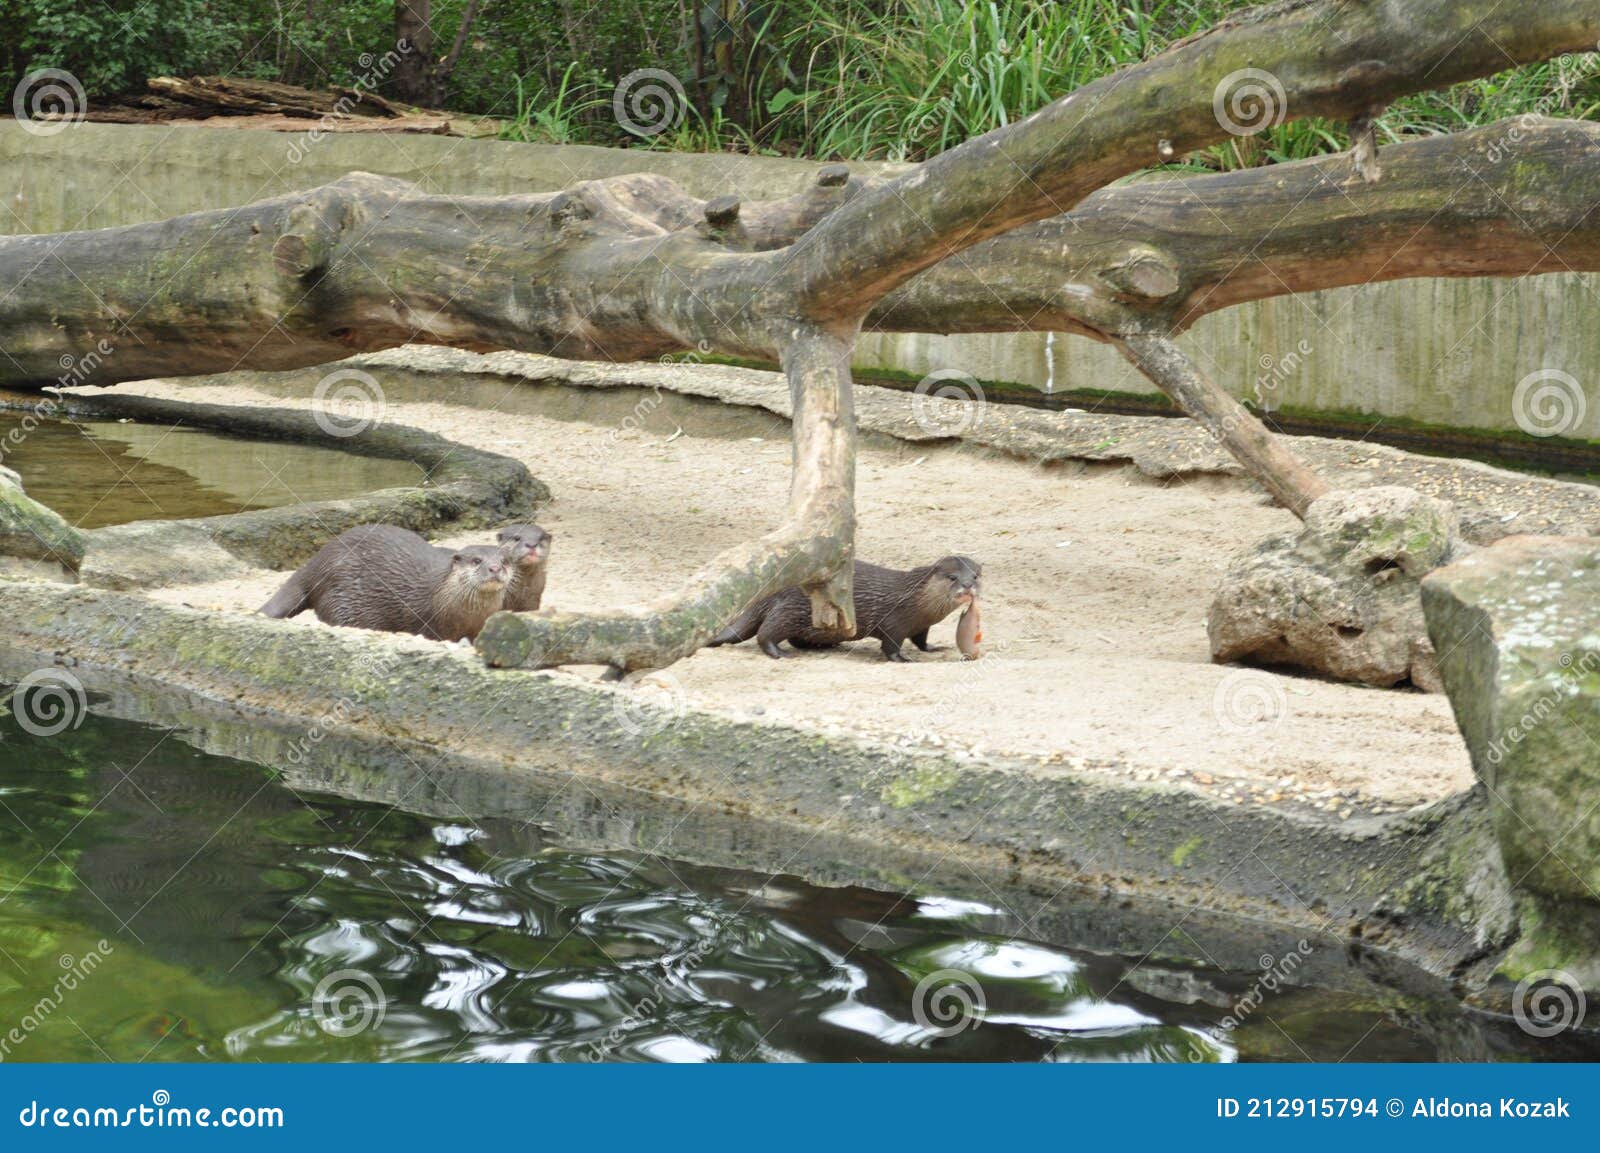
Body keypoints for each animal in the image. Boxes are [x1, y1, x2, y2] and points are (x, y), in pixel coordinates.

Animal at [258, 524, 509, 642]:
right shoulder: (429, 621)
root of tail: (317, 563)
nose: (495, 568)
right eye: (477, 560)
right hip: (343, 599)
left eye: (504, 560)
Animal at [707, 556, 982, 662]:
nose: (968, 585)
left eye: (976, 575)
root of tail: (767, 593)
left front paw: (934, 648)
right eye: (952, 578)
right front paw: (903, 658)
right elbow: (890, 646)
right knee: (766, 634)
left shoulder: (921, 625)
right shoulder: (894, 621)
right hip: (789, 610)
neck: (916, 602)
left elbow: (921, 640)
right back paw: (780, 653)